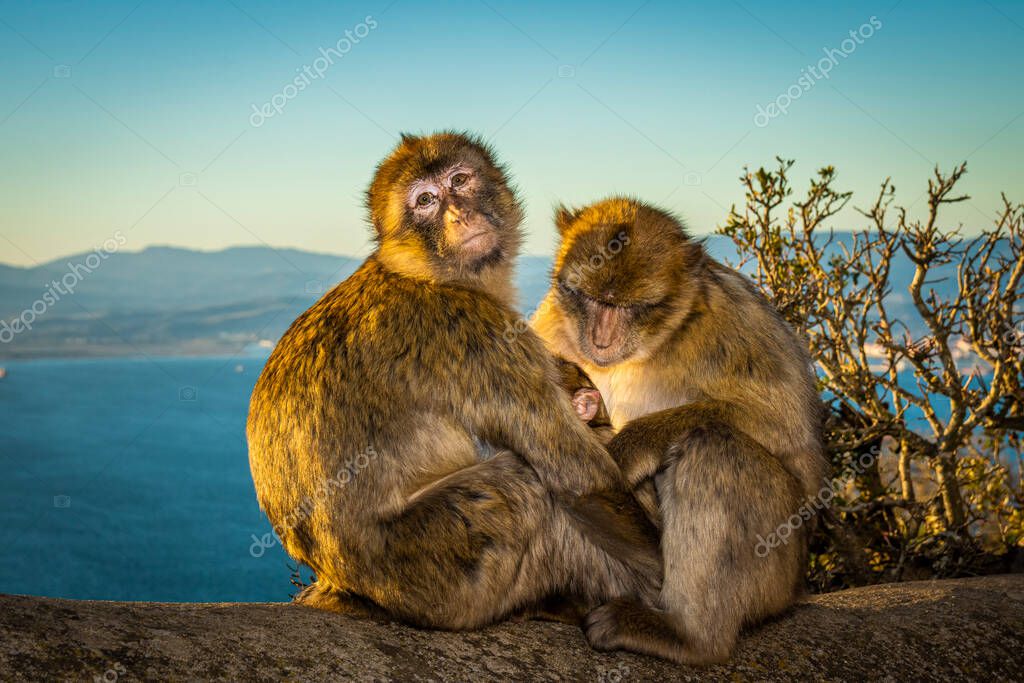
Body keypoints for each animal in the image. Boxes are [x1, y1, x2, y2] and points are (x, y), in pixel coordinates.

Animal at [246, 134, 663, 635]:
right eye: (425, 201)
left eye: (459, 180)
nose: (458, 214)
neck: (422, 272)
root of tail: (345, 586)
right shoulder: (477, 331)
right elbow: (582, 479)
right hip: (441, 570)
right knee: (525, 486)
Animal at [531, 197, 827, 665]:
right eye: (591, 299)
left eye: (625, 307)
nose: (599, 340)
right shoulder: (550, 324)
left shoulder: (731, 319)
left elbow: (787, 425)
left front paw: (632, 445)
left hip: (775, 572)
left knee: (713, 448)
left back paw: (689, 636)